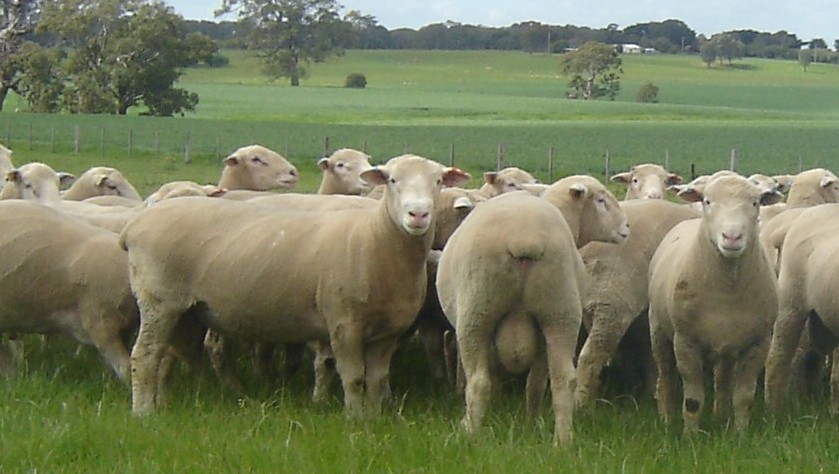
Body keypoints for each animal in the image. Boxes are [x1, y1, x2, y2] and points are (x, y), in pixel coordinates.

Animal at [121, 154, 470, 416]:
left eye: (438, 182)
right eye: (392, 181)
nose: (418, 214)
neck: (374, 237)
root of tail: (135, 226)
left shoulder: (388, 332)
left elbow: (377, 379)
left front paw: (374, 417)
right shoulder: (343, 324)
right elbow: (354, 377)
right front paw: (355, 419)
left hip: (184, 310)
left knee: (164, 355)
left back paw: (162, 402)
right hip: (158, 300)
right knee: (144, 356)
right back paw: (144, 414)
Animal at [436, 176, 629, 446]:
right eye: (601, 201)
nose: (626, 227)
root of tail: (526, 238)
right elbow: (535, 382)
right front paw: (531, 423)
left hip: (475, 313)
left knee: (478, 381)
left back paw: (469, 435)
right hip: (560, 313)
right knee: (562, 380)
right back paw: (561, 442)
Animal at [648, 174, 782, 435]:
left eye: (755, 203)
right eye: (707, 201)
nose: (732, 237)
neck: (727, 288)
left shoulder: (758, 343)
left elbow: (743, 397)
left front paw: (740, 436)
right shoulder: (686, 342)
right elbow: (692, 400)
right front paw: (690, 437)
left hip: (728, 347)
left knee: (723, 382)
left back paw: (721, 419)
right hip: (658, 329)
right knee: (665, 377)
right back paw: (666, 420)